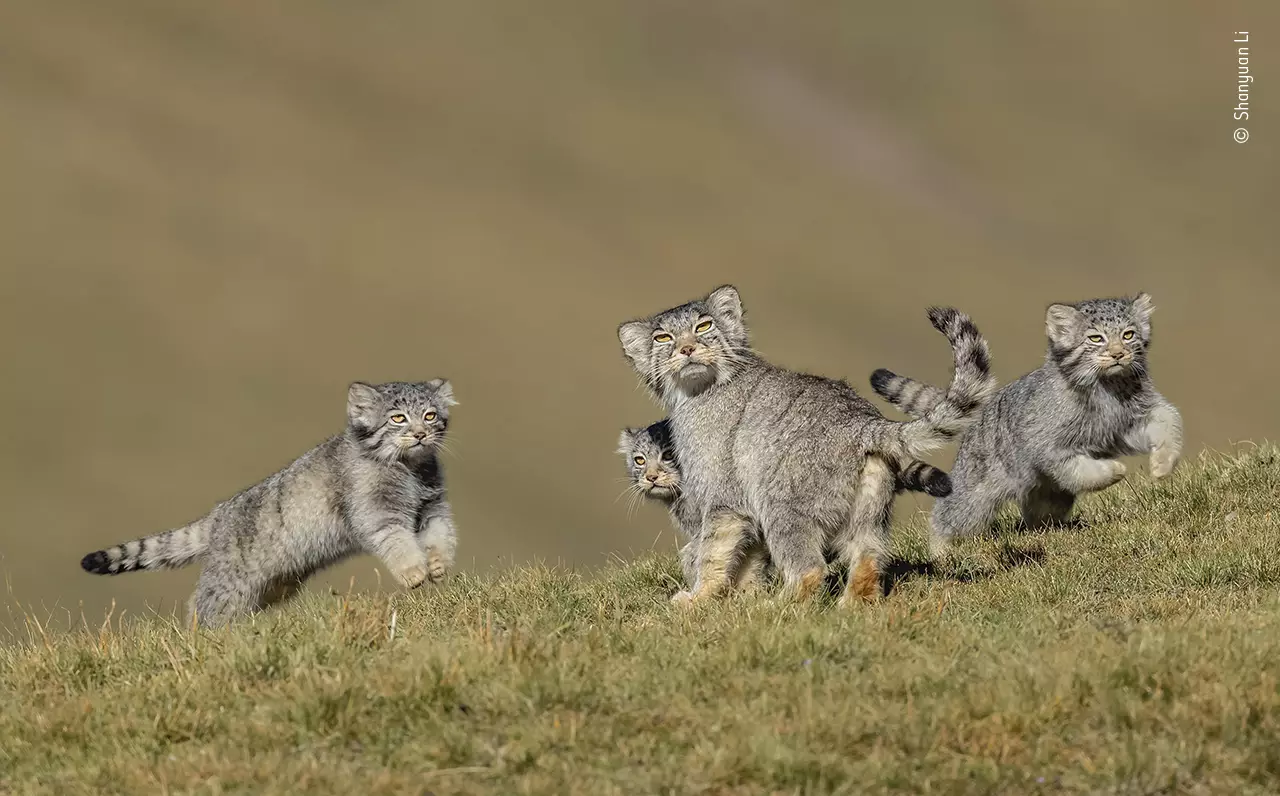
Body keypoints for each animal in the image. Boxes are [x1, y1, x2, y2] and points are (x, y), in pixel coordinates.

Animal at [80, 381, 460, 629]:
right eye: (397, 418)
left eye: (429, 415)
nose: (421, 435)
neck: (409, 469)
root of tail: (217, 516)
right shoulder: (377, 512)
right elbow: (397, 541)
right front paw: (414, 571)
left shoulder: (431, 506)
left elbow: (440, 533)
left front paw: (438, 564)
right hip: (230, 582)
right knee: (202, 606)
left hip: (272, 583)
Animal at [614, 286, 993, 604]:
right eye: (663, 337)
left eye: (704, 325)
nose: (687, 348)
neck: (699, 393)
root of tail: (862, 421)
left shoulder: (724, 499)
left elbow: (711, 554)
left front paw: (698, 599)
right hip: (867, 513)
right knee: (868, 560)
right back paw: (850, 609)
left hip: (782, 506)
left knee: (810, 570)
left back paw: (775, 610)